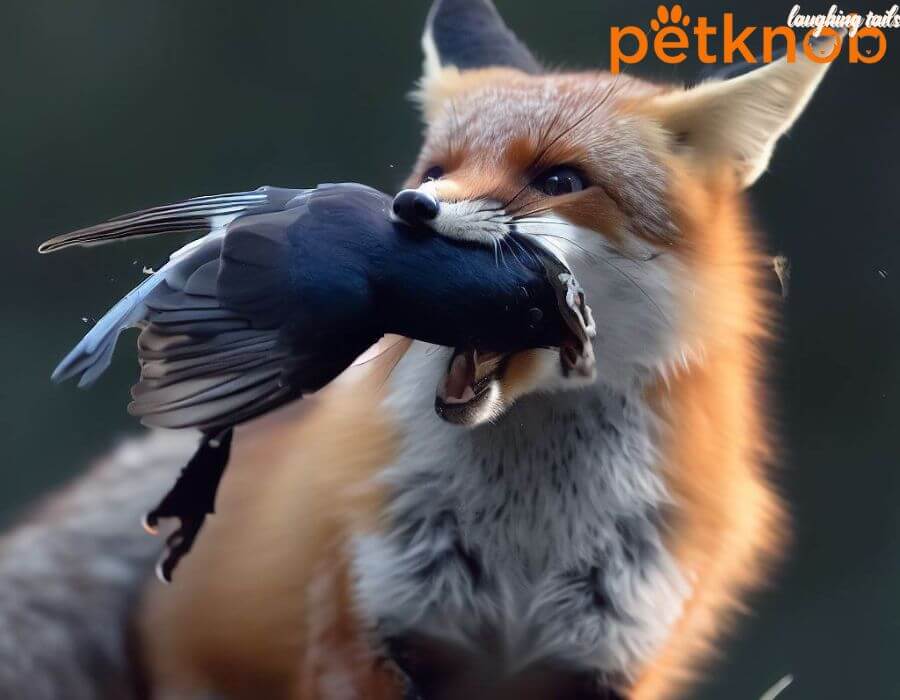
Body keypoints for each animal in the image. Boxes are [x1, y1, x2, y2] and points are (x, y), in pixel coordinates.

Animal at [1, 1, 840, 698]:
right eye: (438, 169)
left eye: (559, 180)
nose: (410, 207)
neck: (528, 543)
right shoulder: (372, 635)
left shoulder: (605, 661)